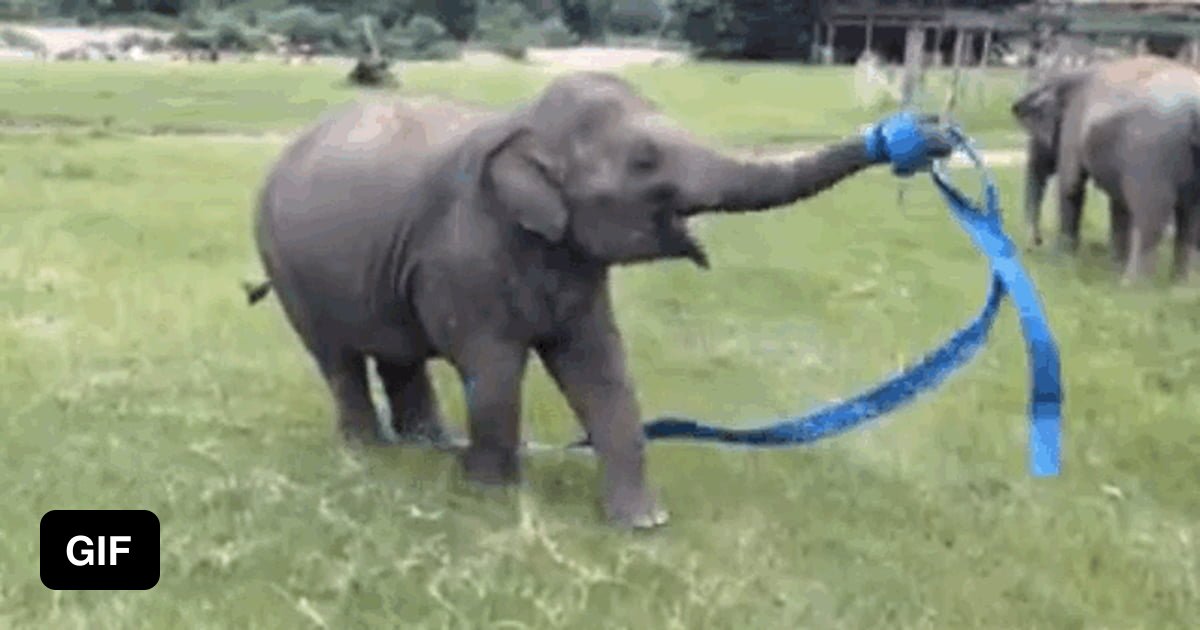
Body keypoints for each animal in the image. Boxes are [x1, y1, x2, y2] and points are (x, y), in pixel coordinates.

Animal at [247, 71, 952, 528]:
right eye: (643, 161)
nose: (928, 133)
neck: (523, 122)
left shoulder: (575, 267)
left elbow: (602, 369)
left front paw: (642, 526)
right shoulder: (466, 253)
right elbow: (494, 372)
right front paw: (491, 503)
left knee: (399, 353)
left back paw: (429, 445)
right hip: (285, 260)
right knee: (338, 359)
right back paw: (370, 454)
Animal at [1012, 56, 1200, 284]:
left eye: (1036, 132)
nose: (1036, 243)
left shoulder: (1073, 126)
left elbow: (1071, 186)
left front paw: (1061, 261)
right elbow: (1118, 203)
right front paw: (1114, 265)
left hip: (1152, 153)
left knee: (1152, 213)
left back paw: (1131, 284)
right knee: (1191, 214)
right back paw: (1181, 284)